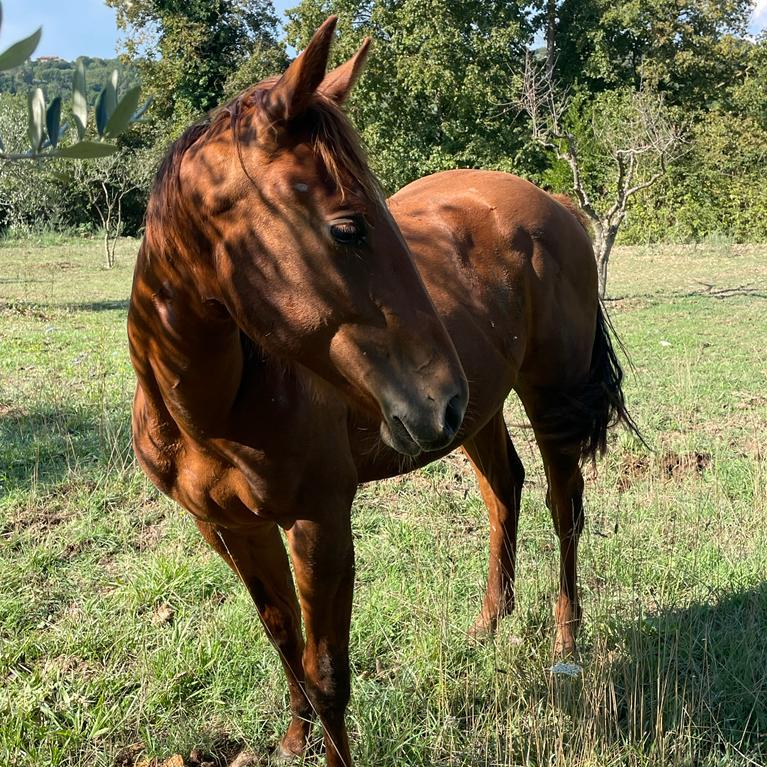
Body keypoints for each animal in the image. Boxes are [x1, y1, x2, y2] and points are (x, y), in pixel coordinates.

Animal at [128, 16, 636, 766]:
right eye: (347, 228)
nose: (438, 397)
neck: (212, 411)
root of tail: (558, 205)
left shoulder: (320, 524)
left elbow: (327, 672)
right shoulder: (229, 528)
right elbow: (283, 641)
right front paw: (292, 738)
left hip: (545, 398)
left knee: (563, 506)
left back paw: (565, 639)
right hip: (479, 411)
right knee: (504, 490)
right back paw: (489, 621)